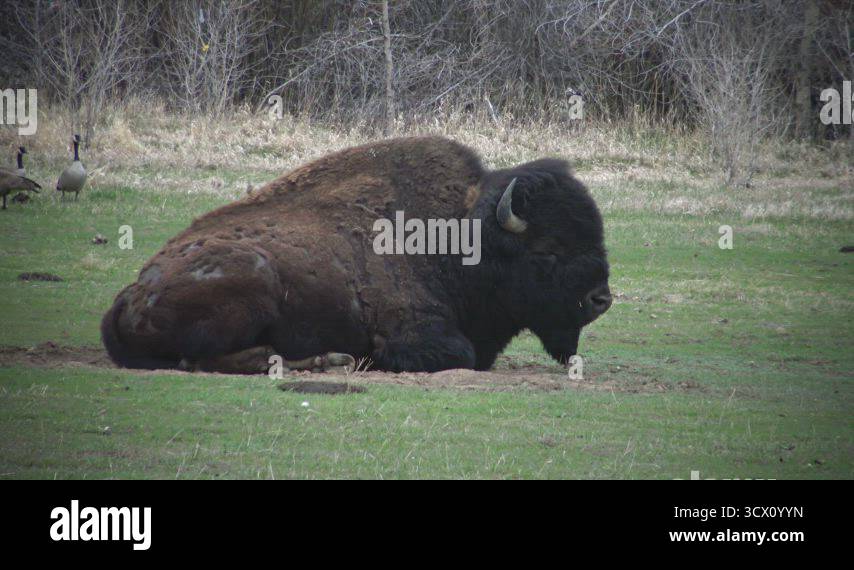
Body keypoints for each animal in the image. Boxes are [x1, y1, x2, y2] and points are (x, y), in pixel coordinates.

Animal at [101, 136, 611, 373]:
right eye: (547, 251)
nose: (601, 299)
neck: (461, 236)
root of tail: (131, 293)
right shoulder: (415, 334)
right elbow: (458, 353)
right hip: (253, 283)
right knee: (207, 359)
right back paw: (330, 360)